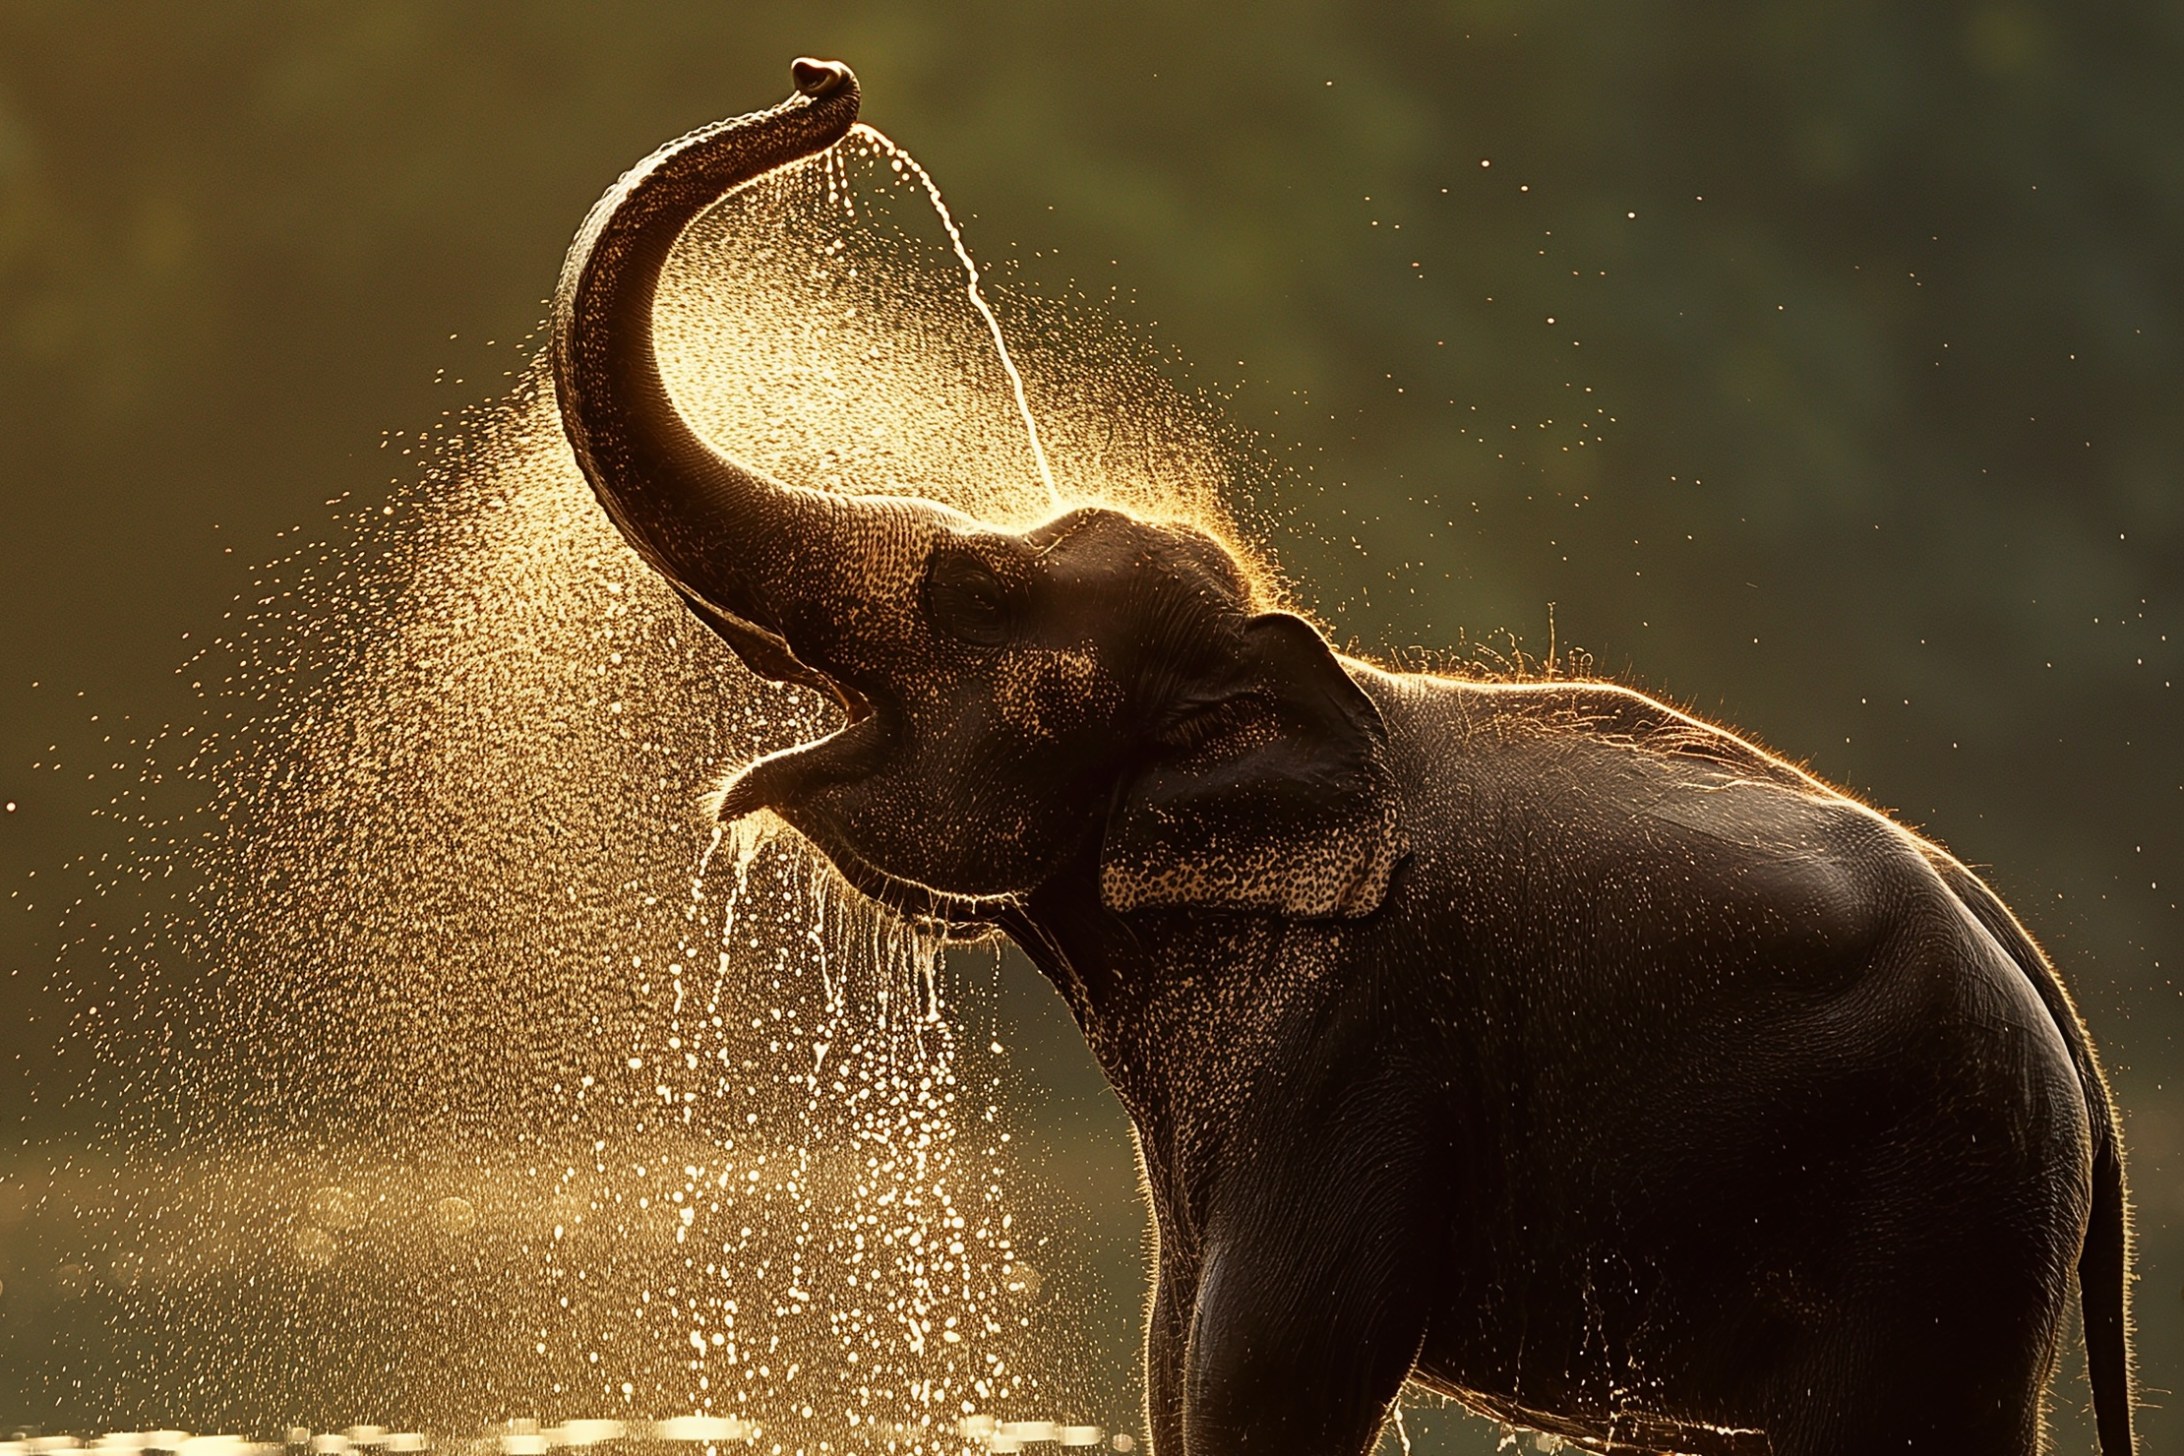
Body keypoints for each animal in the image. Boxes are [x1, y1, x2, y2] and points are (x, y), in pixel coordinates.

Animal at [548, 60, 2134, 1456]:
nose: (823, 80)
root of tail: (2065, 1028)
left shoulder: (1357, 1040)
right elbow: (1173, 1367)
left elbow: (1263, 1377)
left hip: (1943, 1205)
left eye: (981, 593)